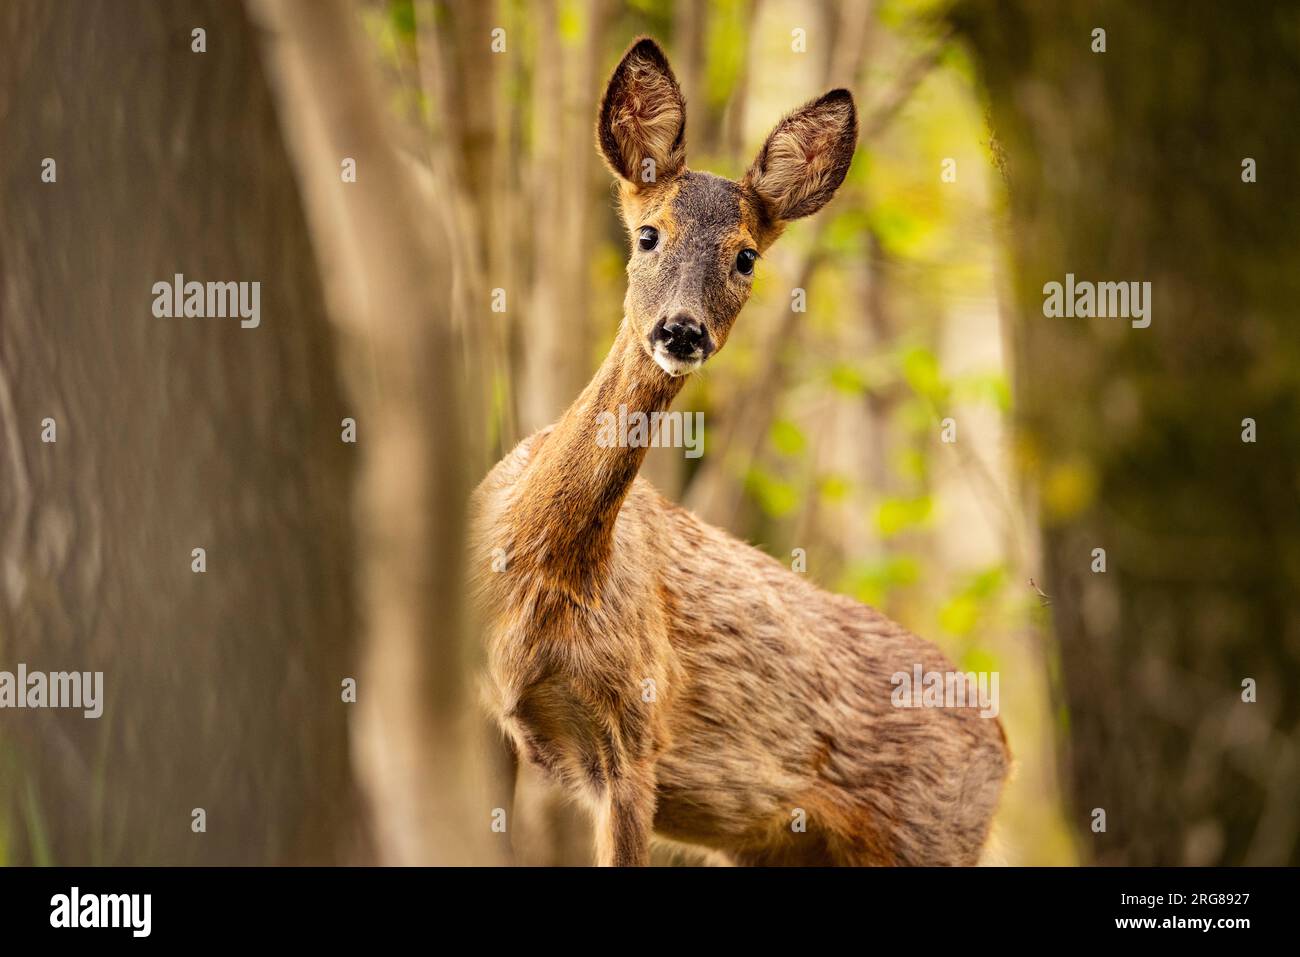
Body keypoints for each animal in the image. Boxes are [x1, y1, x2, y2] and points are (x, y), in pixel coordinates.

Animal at [470, 37, 1009, 866]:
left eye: (747, 256)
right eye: (648, 234)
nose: (681, 329)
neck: (541, 574)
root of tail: (1004, 738)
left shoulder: (635, 734)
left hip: (928, 838)